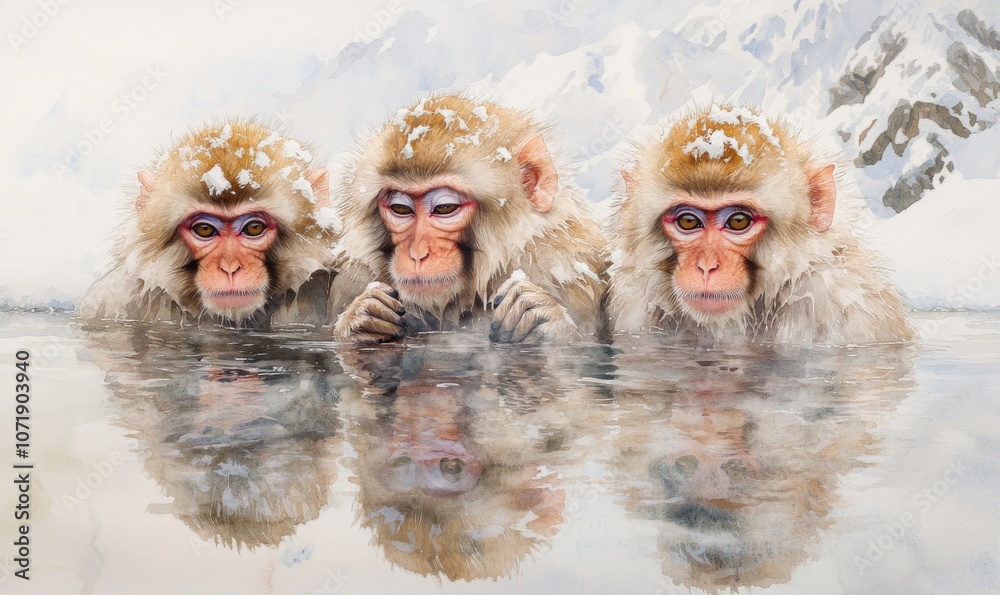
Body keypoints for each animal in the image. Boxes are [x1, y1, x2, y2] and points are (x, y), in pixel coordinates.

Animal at [329, 95, 608, 344]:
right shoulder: (355, 277)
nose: (417, 254)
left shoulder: (557, 260)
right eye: (401, 208)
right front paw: (360, 318)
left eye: (445, 207)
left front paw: (539, 315)